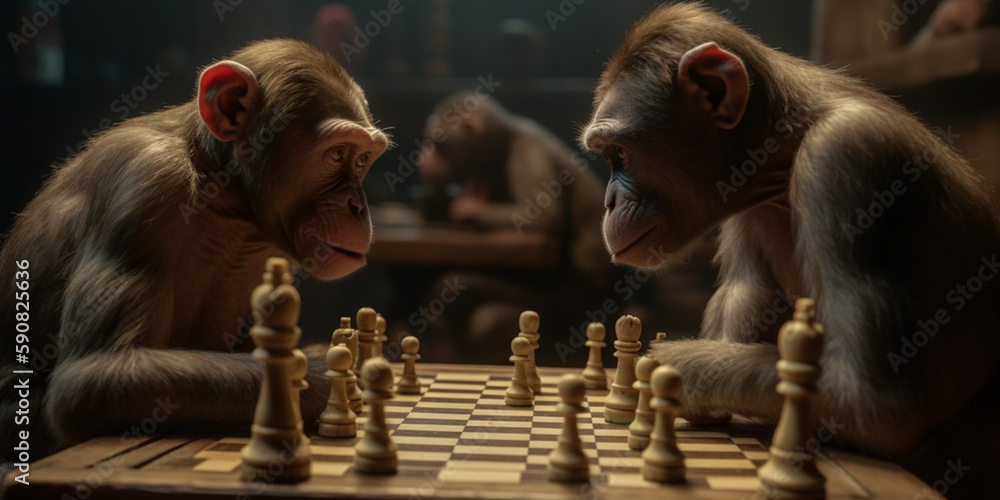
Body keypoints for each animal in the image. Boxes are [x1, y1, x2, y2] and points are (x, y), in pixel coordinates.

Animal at [0, 39, 389, 472]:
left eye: (363, 159)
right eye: (337, 154)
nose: (358, 204)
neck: (222, 189)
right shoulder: (145, 182)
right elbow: (93, 374)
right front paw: (321, 373)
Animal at [580, 2, 1000, 489]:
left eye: (620, 154)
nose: (609, 200)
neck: (785, 150)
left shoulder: (844, 158)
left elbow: (872, 400)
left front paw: (673, 367)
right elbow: (746, 290)